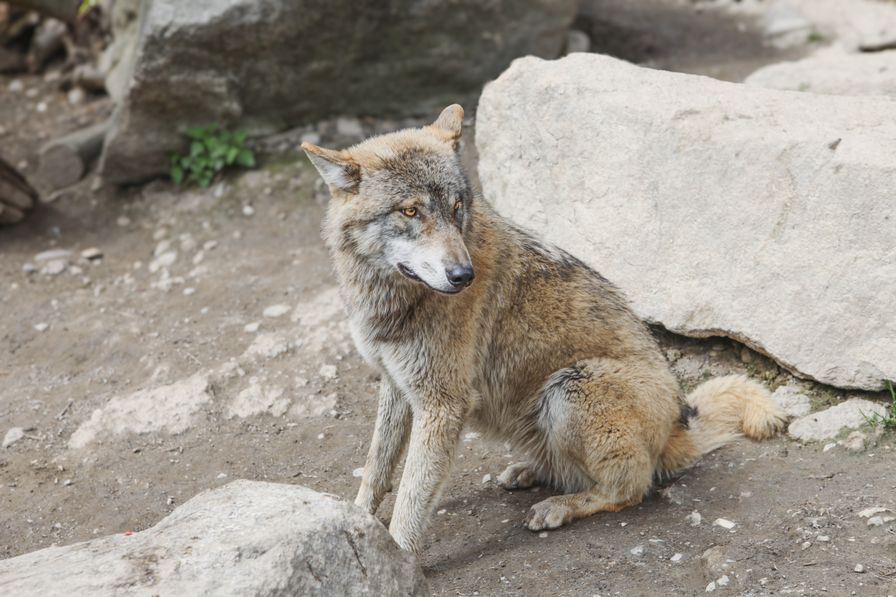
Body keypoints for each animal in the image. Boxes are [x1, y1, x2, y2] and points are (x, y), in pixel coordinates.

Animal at [302, 105, 787, 554]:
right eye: (410, 210)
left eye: (456, 208)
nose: (463, 276)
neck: (392, 299)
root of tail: (678, 431)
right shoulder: (396, 386)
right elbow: (376, 470)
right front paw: (356, 522)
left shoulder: (442, 406)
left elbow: (410, 500)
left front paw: (399, 559)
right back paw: (529, 473)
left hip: (570, 389)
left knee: (631, 488)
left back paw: (559, 506)